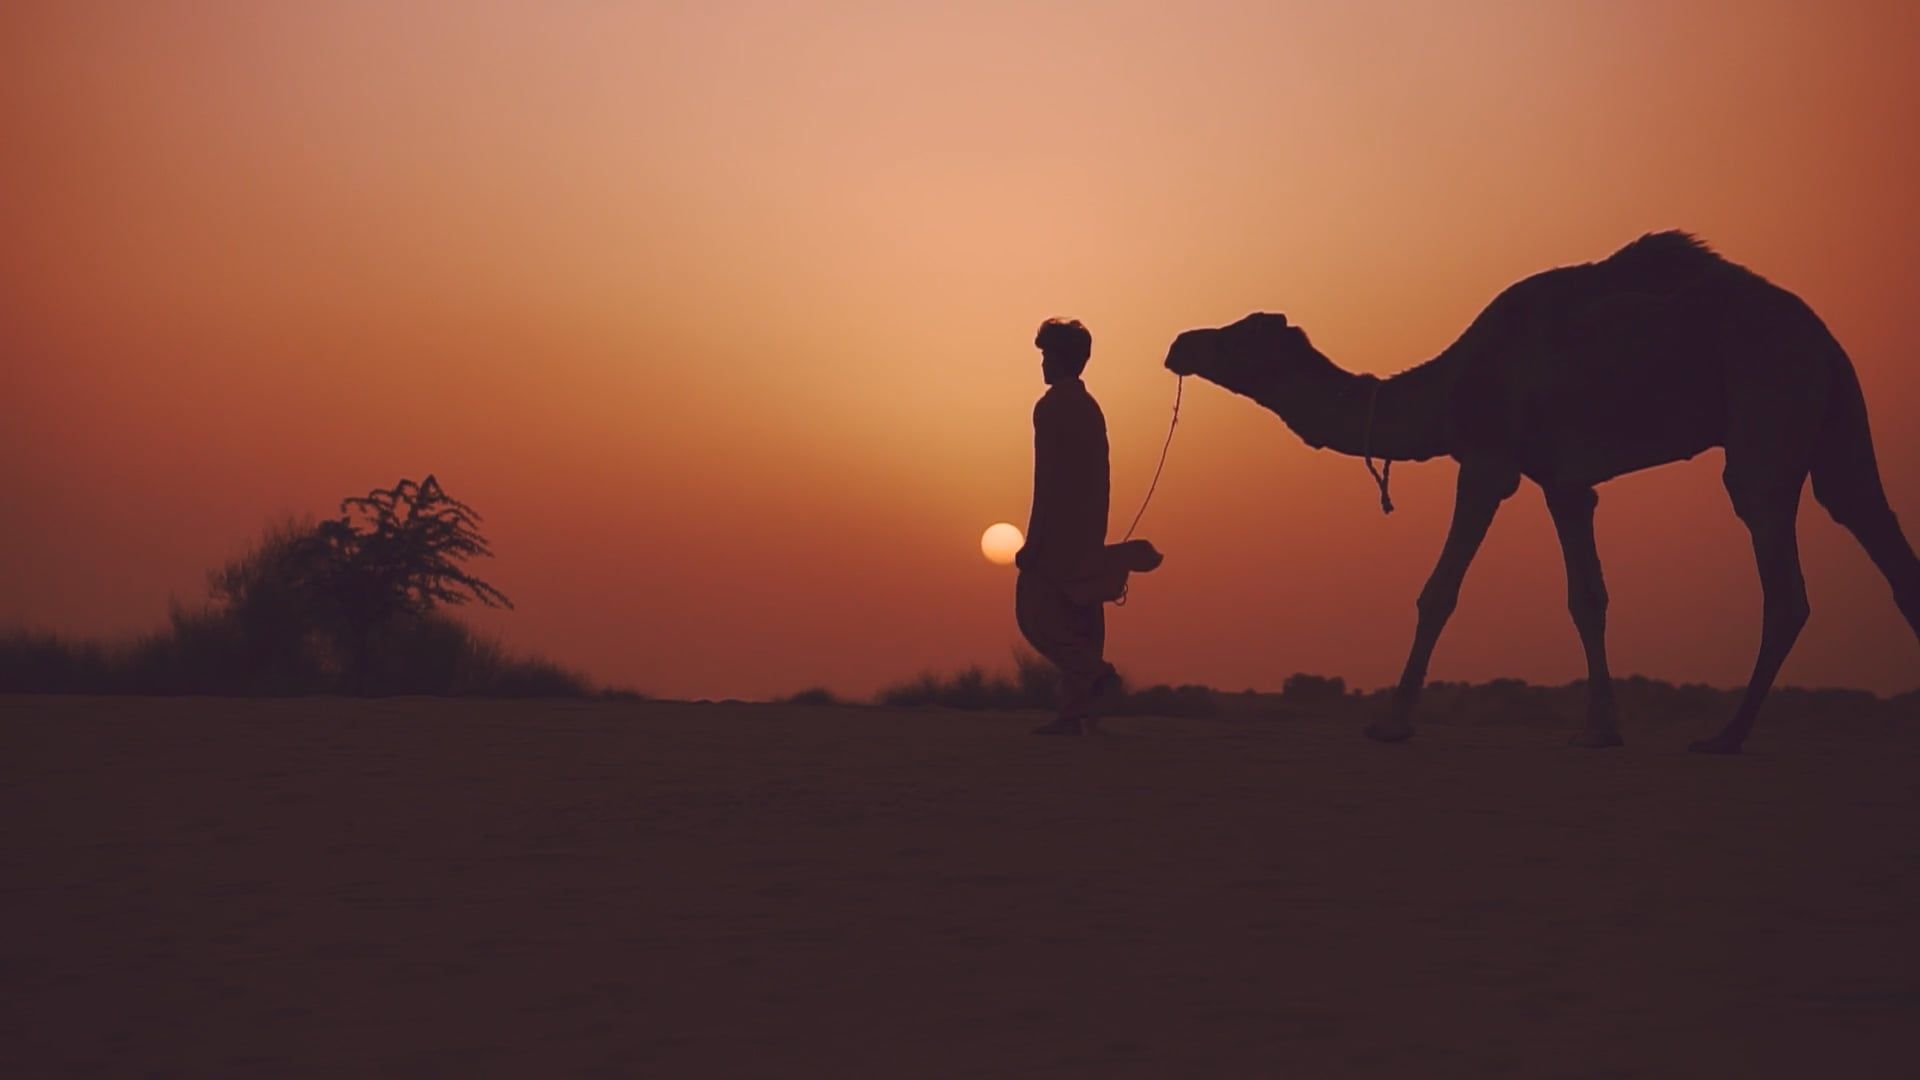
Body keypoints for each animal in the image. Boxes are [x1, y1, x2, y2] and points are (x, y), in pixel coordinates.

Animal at [1164, 232, 1920, 752]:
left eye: (1233, 339)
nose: (1179, 343)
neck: (1451, 385)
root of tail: (1822, 335)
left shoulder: (1488, 459)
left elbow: (1439, 592)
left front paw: (1392, 724)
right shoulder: (1564, 481)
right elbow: (1588, 598)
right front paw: (1601, 730)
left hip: (1769, 396)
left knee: (1780, 564)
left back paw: (1725, 736)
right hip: (1835, 415)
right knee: (1872, 525)